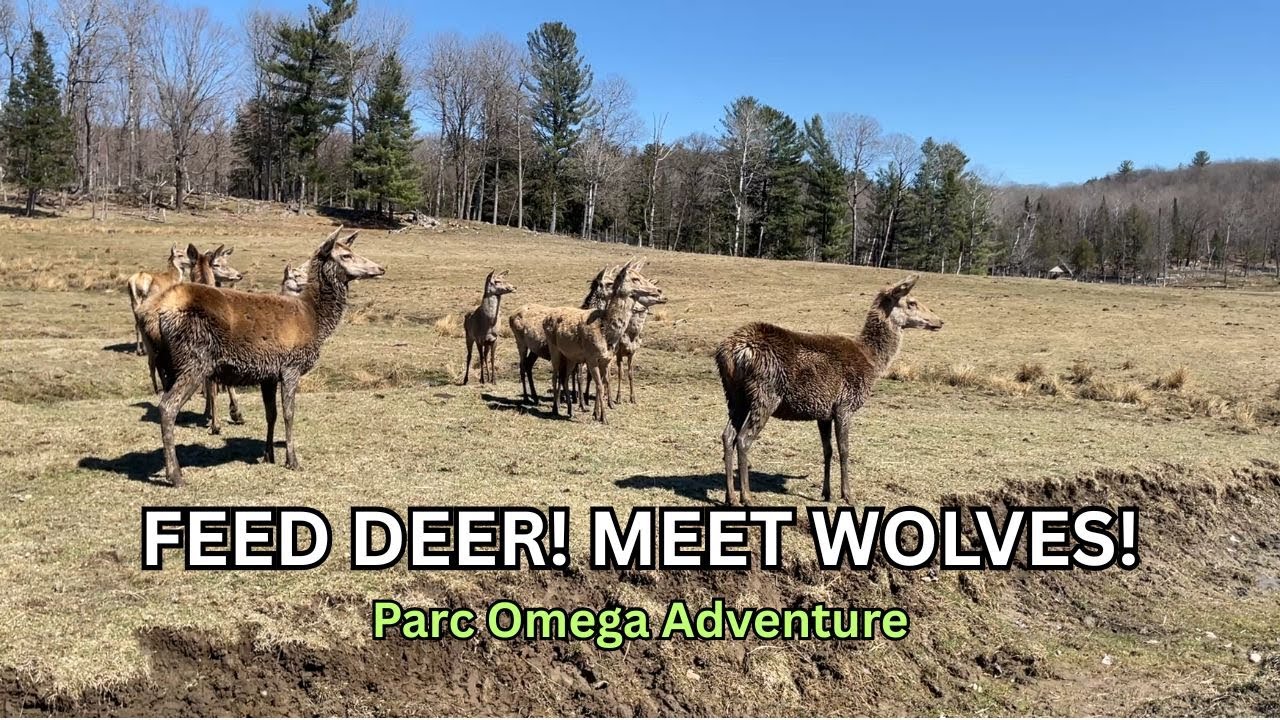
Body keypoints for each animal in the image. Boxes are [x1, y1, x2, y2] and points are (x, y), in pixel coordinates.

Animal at [142, 228, 384, 486]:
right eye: (346, 255)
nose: (380, 268)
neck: (314, 320)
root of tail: (154, 314)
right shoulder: (291, 366)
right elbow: (289, 414)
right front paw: (292, 460)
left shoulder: (268, 374)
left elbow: (271, 414)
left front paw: (269, 455)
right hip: (193, 359)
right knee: (168, 406)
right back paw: (176, 475)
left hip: (166, 364)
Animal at [508, 266, 616, 405]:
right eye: (609, 283)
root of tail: (511, 316)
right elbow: (579, 377)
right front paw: (580, 402)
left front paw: (574, 399)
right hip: (520, 341)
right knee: (522, 366)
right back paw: (527, 397)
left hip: (535, 349)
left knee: (528, 365)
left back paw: (535, 397)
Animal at [544, 259, 664, 423]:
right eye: (635, 279)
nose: (659, 291)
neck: (607, 333)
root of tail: (545, 319)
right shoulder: (591, 357)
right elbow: (599, 385)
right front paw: (604, 417)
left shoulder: (606, 359)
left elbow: (603, 381)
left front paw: (598, 412)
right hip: (554, 348)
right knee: (555, 375)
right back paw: (556, 409)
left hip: (570, 356)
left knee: (565, 377)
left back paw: (570, 411)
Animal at [713, 275, 942, 506]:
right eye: (912, 302)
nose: (939, 321)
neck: (872, 362)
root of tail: (731, 352)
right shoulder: (845, 405)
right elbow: (844, 450)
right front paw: (848, 495)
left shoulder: (823, 411)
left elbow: (828, 450)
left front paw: (826, 493)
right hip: (765, 393)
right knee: (743, 439)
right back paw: (747, 496)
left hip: (735, 395)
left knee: (727, 435)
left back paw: (730, 496)